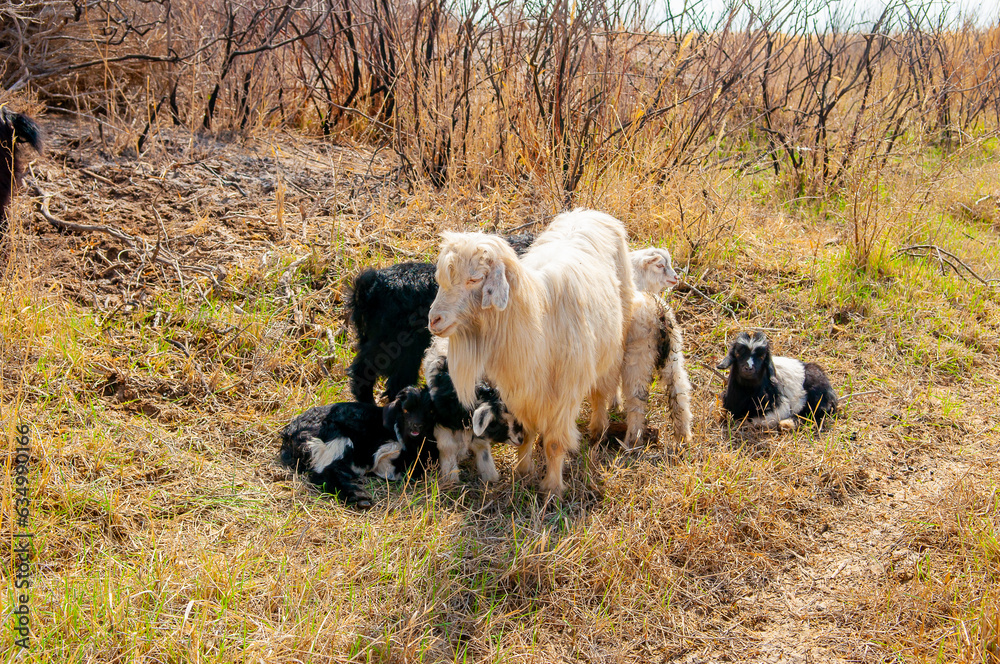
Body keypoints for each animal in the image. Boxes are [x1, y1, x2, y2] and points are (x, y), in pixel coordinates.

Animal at [279, 386, 436, 507]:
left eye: (429, 411)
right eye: (405, 410)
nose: (416, 425)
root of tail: (290, 432)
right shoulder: (386, 449)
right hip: (336, 440)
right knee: (325, 472)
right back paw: (360, 497)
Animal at [422, 336, 524, 485]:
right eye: (500, 422)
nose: (520, 439)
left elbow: (482, 445)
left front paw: (490, 477)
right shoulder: (441, 420)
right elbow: (447, 447)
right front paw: (450, 478)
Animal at [620, 247, 693, 447]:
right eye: (660, 265)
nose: (676, 278)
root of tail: (659, 311)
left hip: (638, 358)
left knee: (637, 399)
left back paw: (631, 441)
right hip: (673, 356)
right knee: (680, 392)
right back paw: (683, 436)